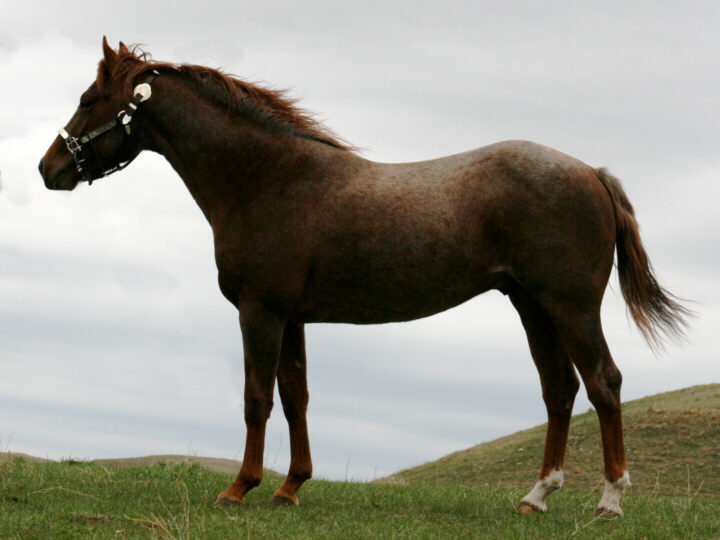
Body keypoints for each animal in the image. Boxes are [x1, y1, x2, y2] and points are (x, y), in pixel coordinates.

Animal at [39, 38, 688, 517]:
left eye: (89, 98)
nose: (49, 168)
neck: (266, 177)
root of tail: (591, 172)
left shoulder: (260, 311)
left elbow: (257, 399)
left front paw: (239, 488)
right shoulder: (292, 317)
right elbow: (295, 397)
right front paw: (290, 488)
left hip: (570, 306)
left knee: (603, 383)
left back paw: (609, 501)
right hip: (532, 306)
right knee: (560, 391)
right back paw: (536, 496)